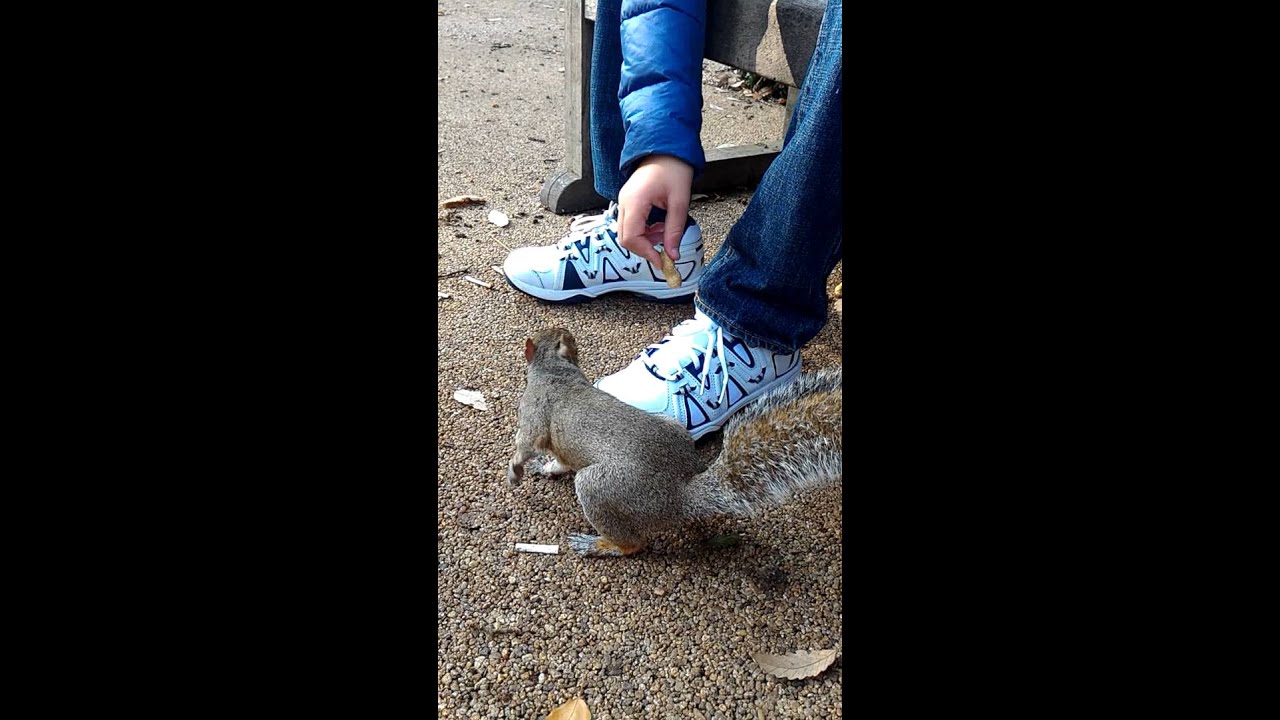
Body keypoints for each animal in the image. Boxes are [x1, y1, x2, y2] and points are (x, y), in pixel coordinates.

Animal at [507, 327, 842, 557]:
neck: (555, 370)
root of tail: (678, 497)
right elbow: (560, 460)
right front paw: (545, 468)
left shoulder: (535, 409)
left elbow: (527, 441)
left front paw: (517, 469)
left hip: (602, 487)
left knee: (632, 543)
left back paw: (600, 545)